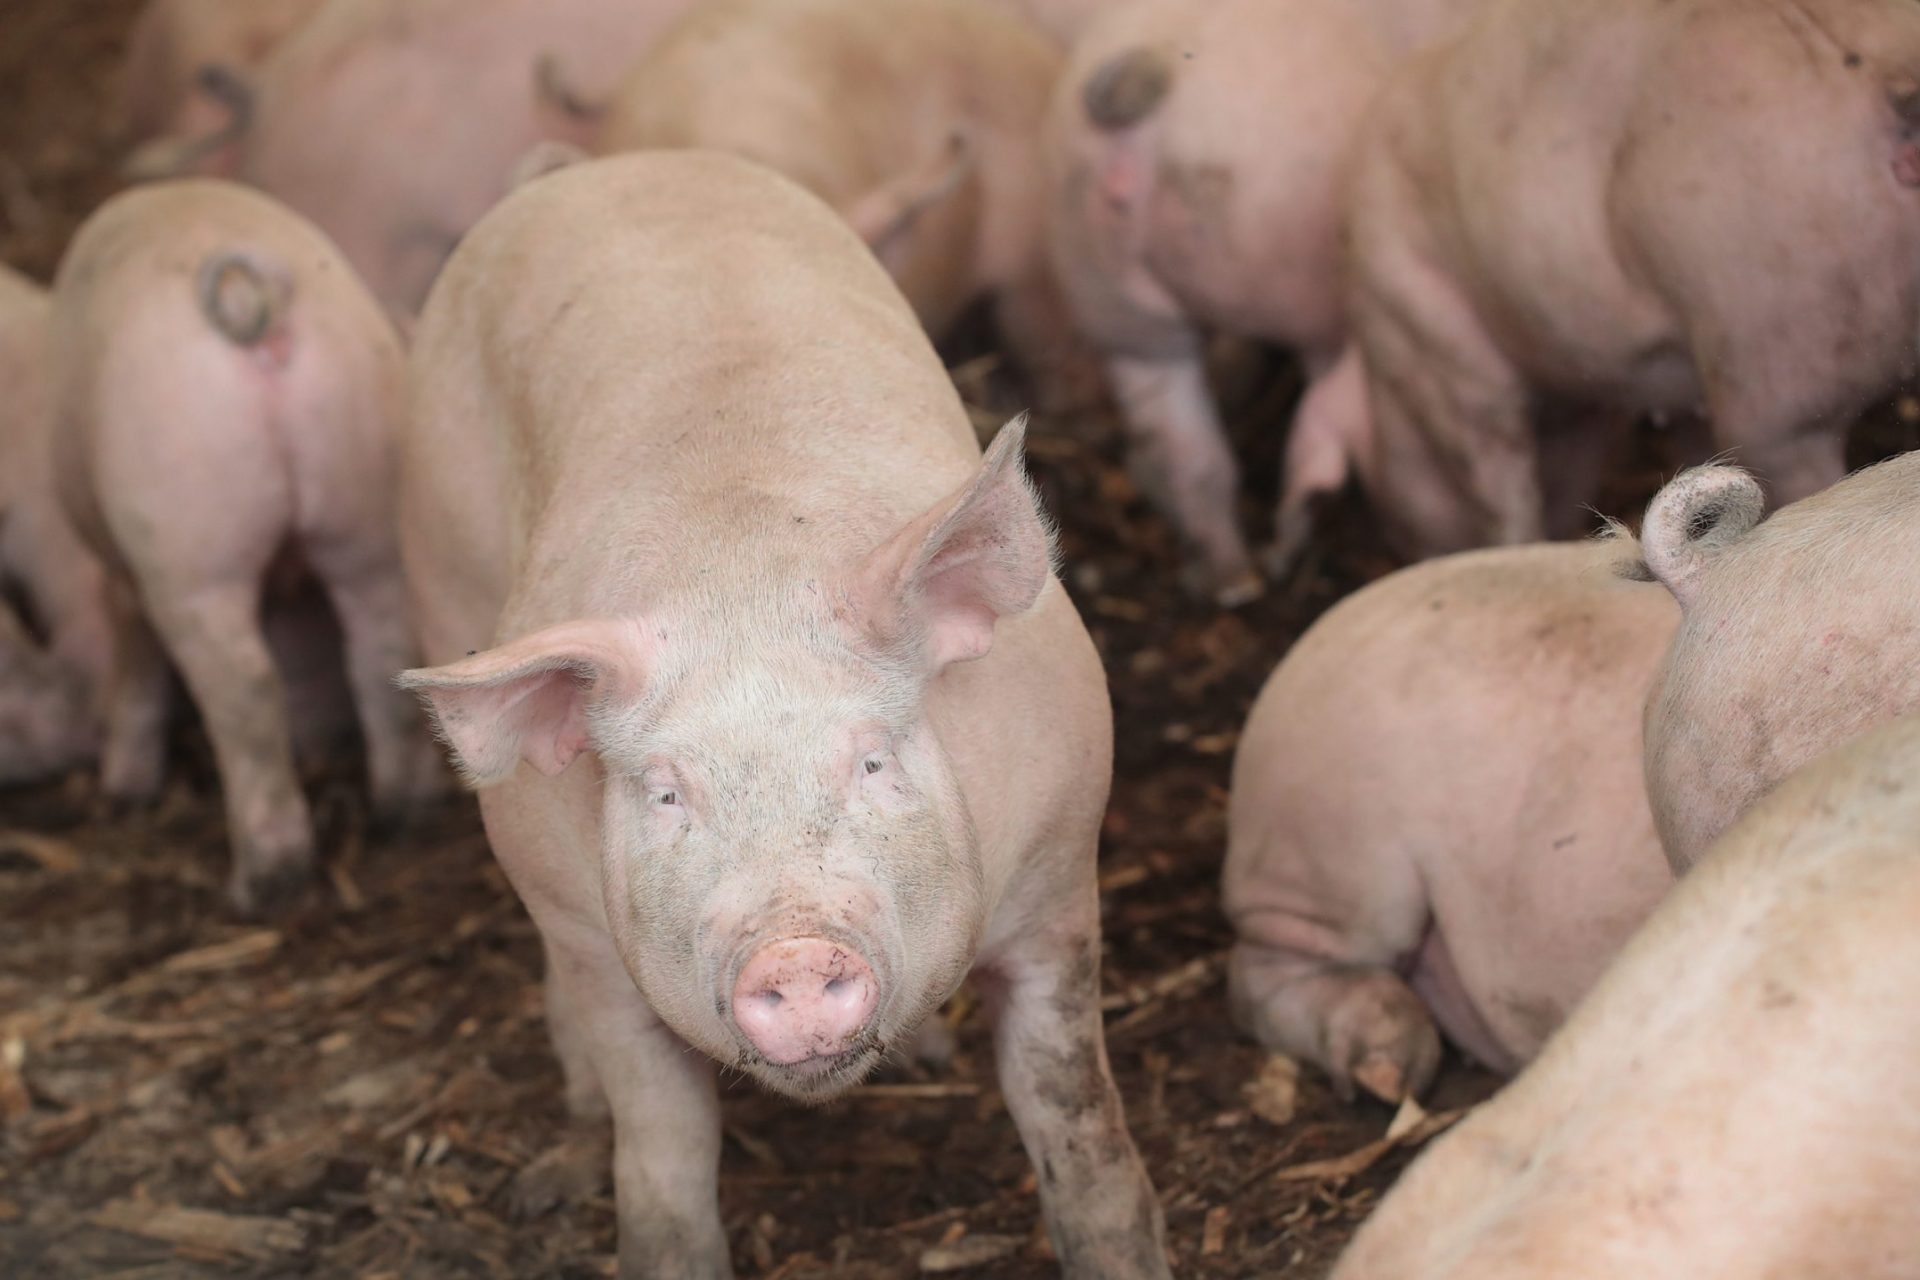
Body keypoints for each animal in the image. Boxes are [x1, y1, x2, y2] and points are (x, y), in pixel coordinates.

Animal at [48, 179, 443, 913]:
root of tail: (251, 292)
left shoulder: (124, 565)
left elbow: (132, 647)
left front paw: (122, 793)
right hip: (365, 498)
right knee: (381, 648)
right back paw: (404, 813)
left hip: (187, 534)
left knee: (246, 688)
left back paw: (259, 885)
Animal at [396, 150, 1170, 1280]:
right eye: (666, 794)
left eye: (874, 760)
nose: (795, 949)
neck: (741, 564)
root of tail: (606, 165)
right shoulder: (602, 952)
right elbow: (663, 1165)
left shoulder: (1061, 878)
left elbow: (1075, 1111)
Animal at [1044, 0, 1477, 605]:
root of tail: (1152, 74)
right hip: (1307, 283)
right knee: (1312, 421)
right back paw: (1275, 558)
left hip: (1113, 300)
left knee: (1187, 448)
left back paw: (1230, 582)